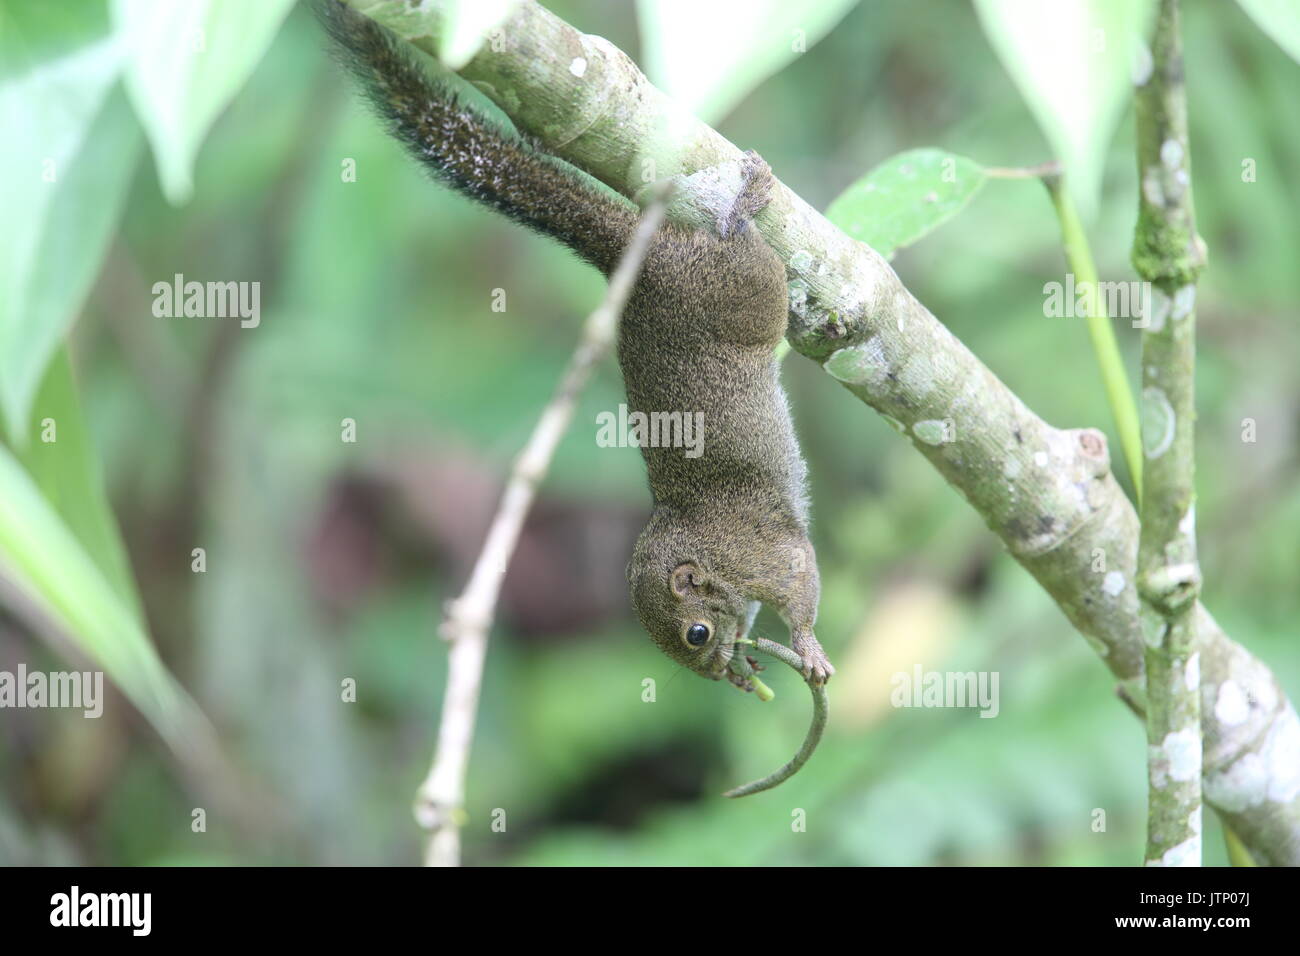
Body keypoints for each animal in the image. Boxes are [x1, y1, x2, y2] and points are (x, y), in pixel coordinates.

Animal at [318, 0, 834, 685]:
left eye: (695, 634)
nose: (719, 673)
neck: (698, 545)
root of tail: (642, 263)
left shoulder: (758, 553)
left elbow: (799, 580)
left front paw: (806, 645)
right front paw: (750, 664)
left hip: (741, 288)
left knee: (742, 247)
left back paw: (743, 200)